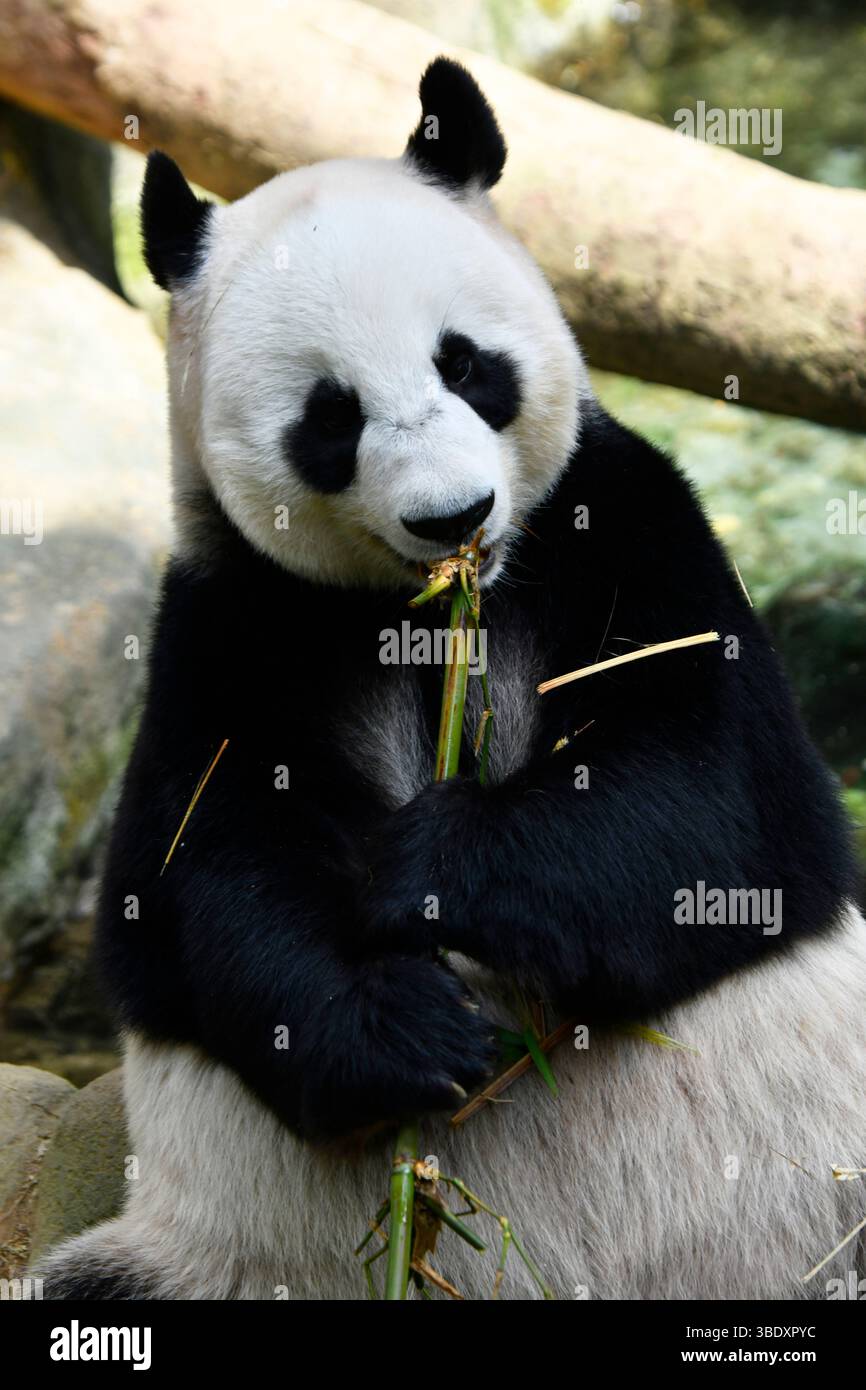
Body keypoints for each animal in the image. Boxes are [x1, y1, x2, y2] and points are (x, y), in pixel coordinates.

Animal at [36, 58, 865, 1301]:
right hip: (207, 1259)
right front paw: (404, 1030)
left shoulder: (621, 524)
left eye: (464, 363)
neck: (427, 620)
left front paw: (425, 863)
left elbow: (707, 801)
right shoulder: (230, 618)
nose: (452, 518)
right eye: (329, 417)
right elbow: (202, 869)